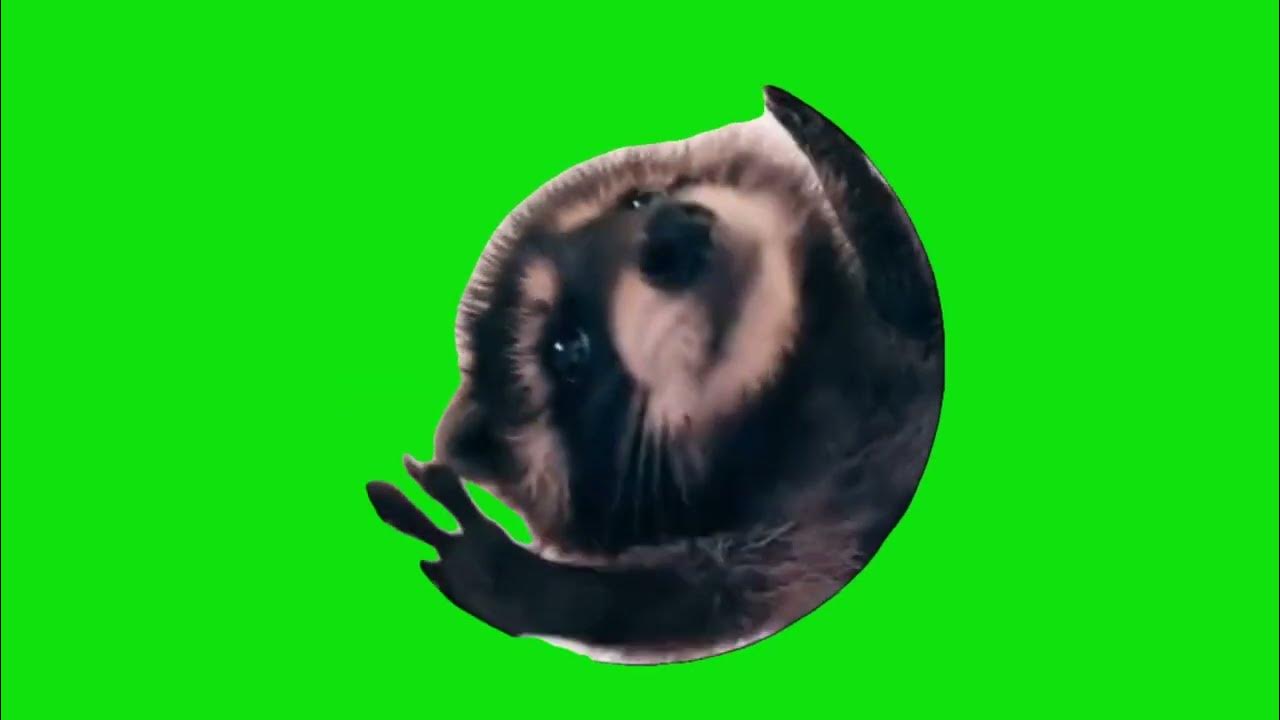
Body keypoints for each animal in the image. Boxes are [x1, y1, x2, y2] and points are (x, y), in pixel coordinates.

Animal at [366, 86, 944, 664]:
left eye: (639, 201)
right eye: (568, 349)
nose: (670, 235)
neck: (788, 394)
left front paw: (835, 154)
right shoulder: (803, 533)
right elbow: (698, 604)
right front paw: (531, 583)